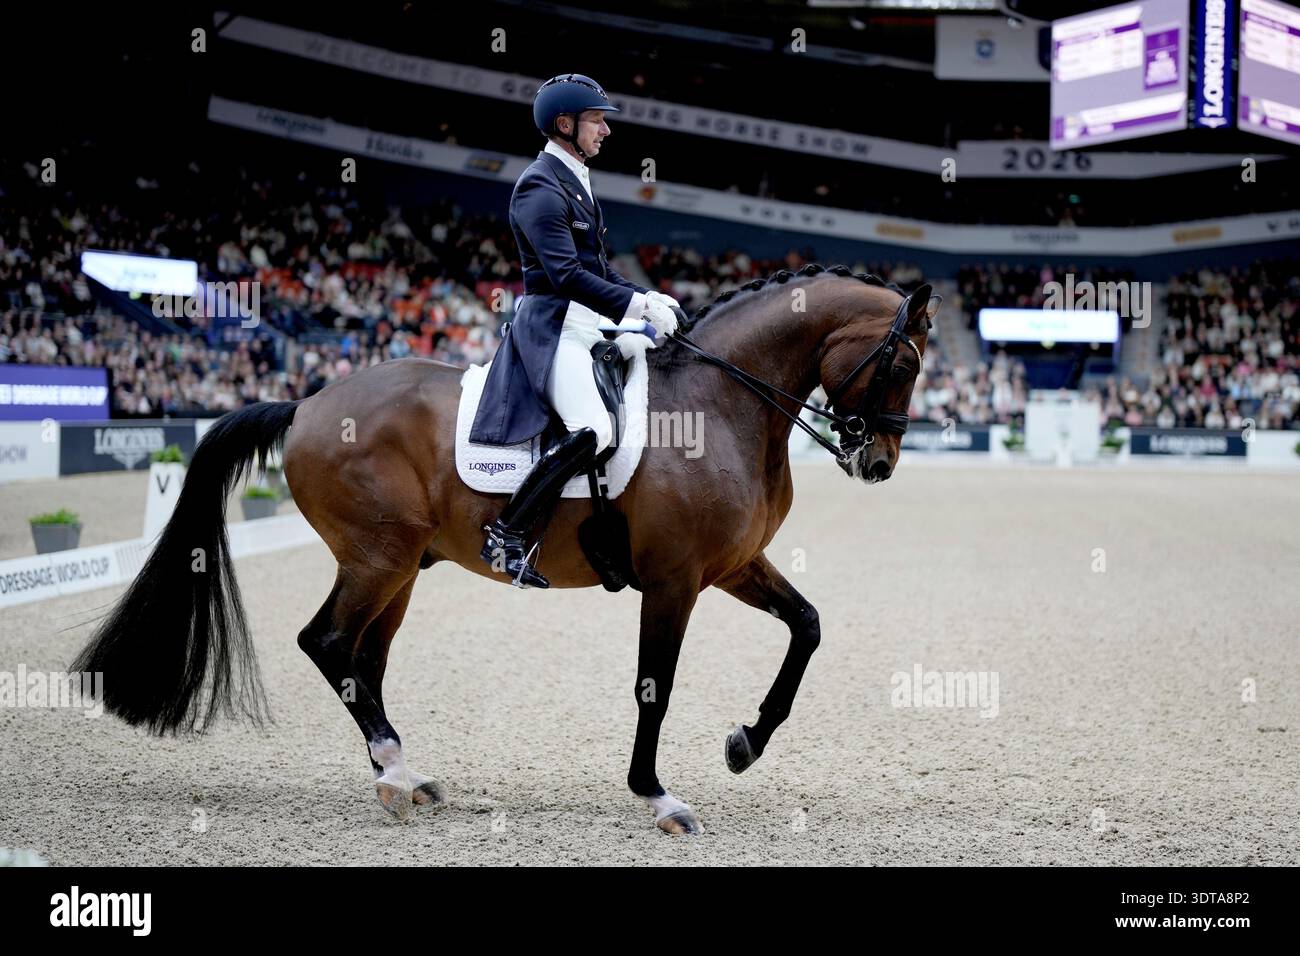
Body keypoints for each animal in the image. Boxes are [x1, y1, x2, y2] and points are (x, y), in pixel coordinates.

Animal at [72, 263, 936, 835]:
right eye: (900, 362)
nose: (879, 463)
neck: (719, 405)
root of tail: (308, 402)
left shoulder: (730, 568)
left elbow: (808, 626)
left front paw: (744, 744)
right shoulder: (675, 581)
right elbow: (653, 688)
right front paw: (658, 795)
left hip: (400, 571)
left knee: (361, 659)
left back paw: (400, 776)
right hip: (378, 559)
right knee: (326, 642)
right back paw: (396, 769)